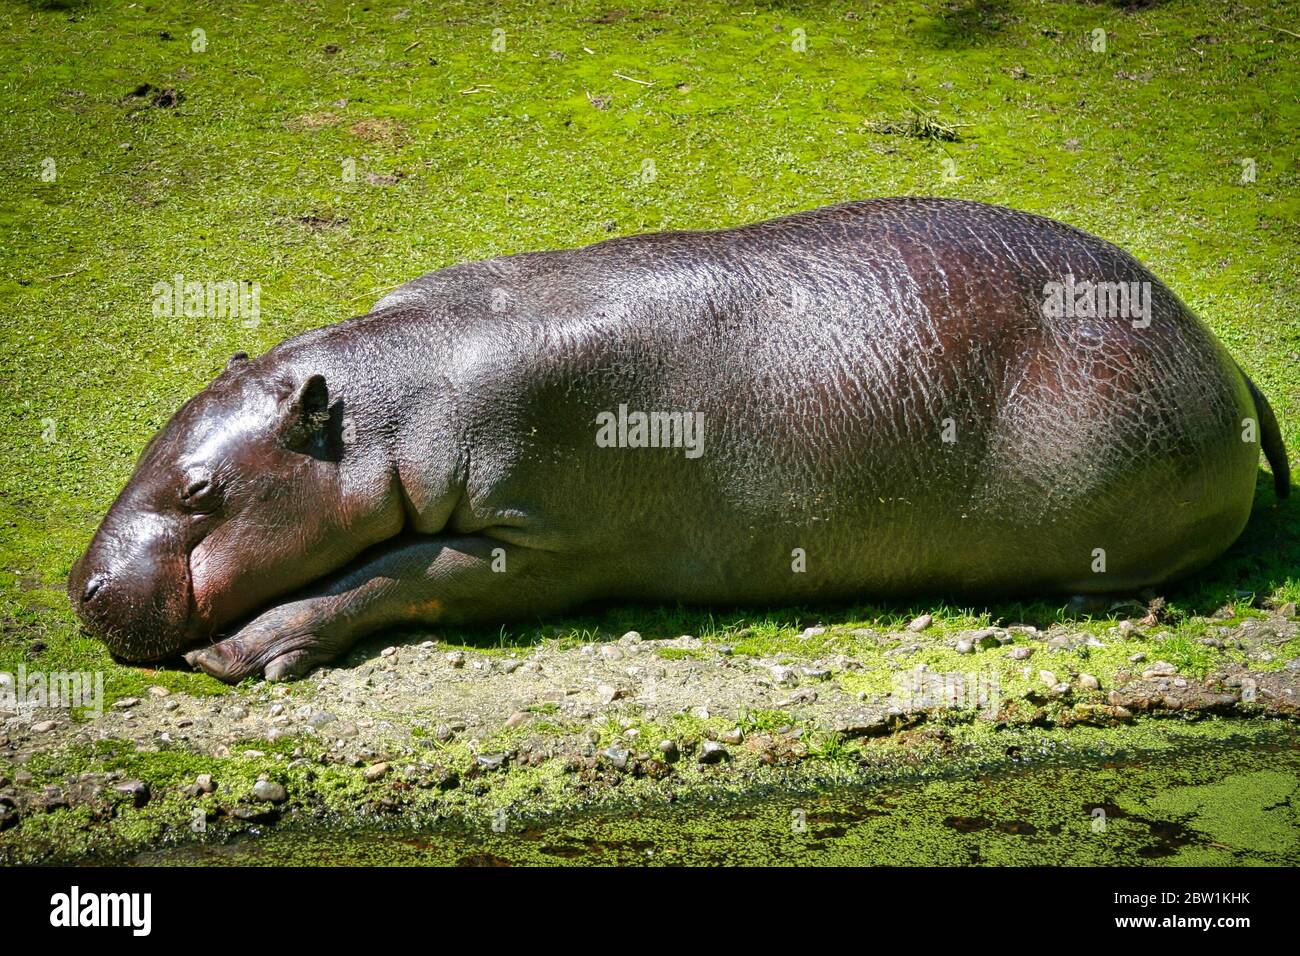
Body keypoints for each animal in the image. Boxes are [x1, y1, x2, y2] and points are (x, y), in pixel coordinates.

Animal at [68, 198, 1290, 682]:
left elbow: (390, 574)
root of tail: (1223, 351)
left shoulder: (533, 543)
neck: (395, 395)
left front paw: (242, 652)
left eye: (201, 492)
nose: (81, 587)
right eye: (156, 443)